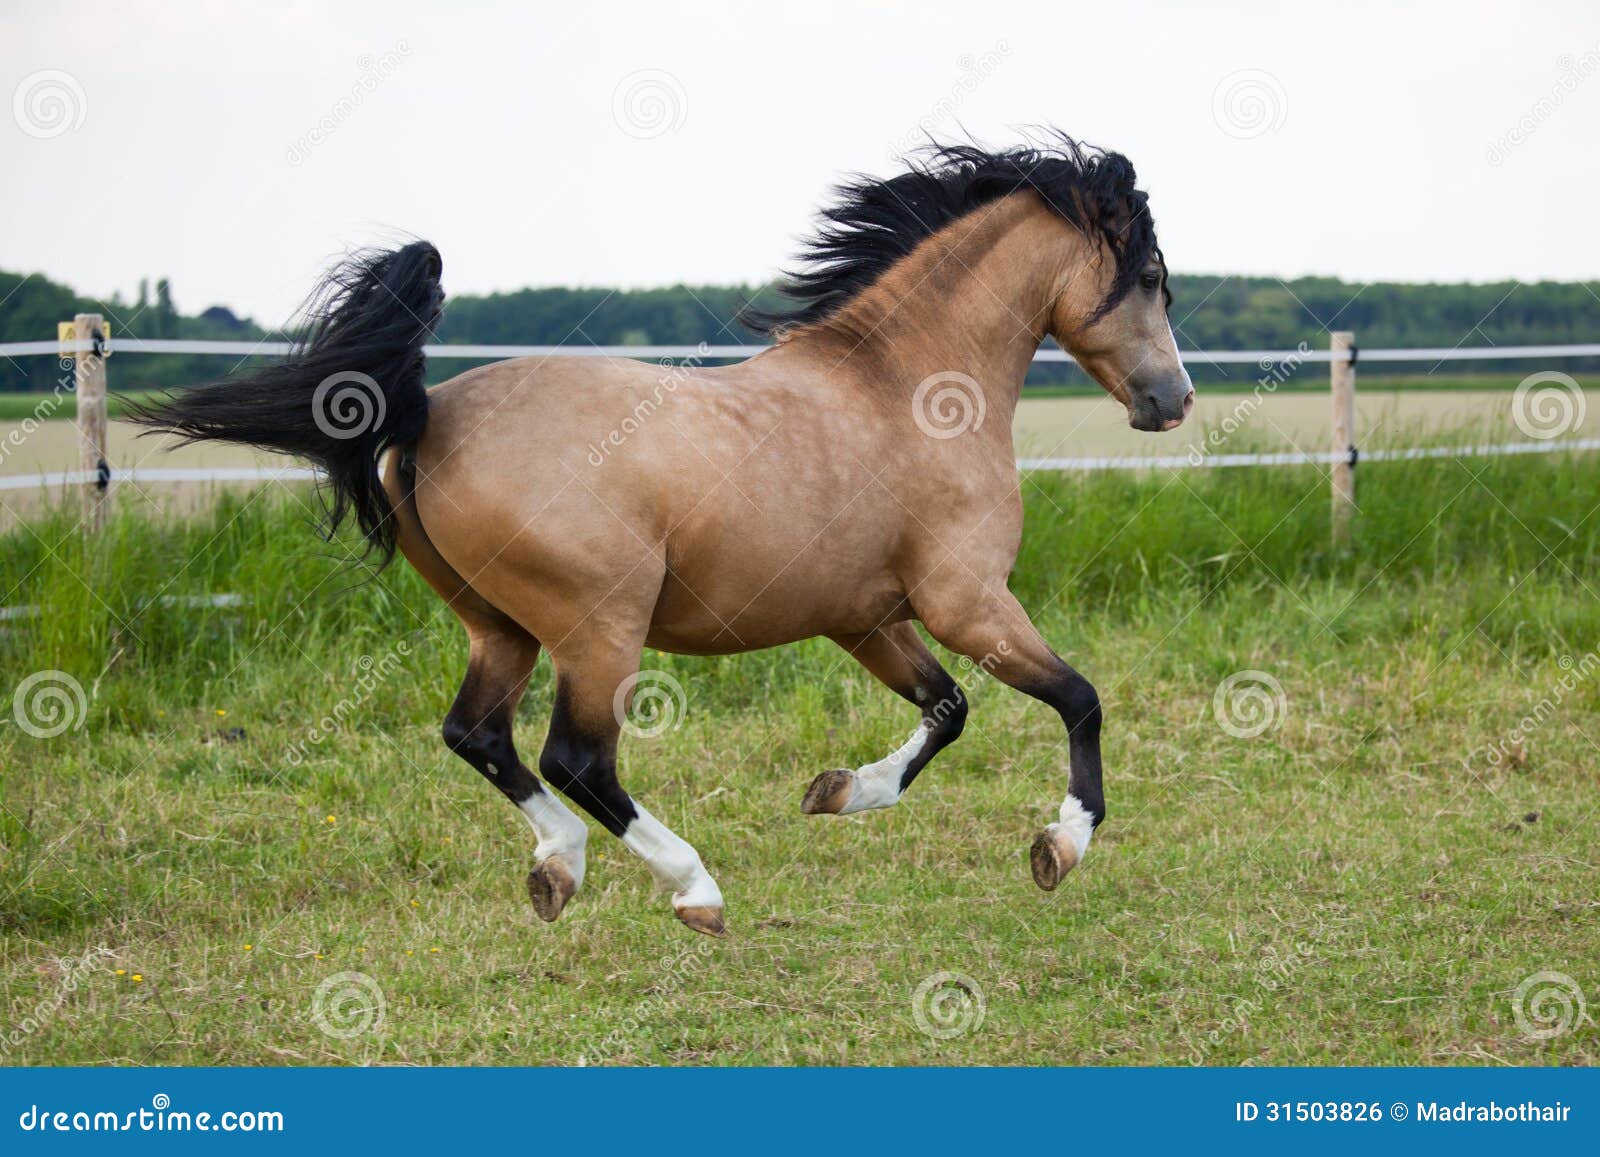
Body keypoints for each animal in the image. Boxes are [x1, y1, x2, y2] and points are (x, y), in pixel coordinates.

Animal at [130, 137, 1193, 937]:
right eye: (1149, 276)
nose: (1172, 400)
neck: (905, 389)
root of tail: (428, 416)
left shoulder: (866, 617)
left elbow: (949, 709)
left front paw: (839, 791)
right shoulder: (967, 600)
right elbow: (1080, 700)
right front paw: (1059, 845)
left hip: (500, 628)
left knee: (477, 735)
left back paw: (558, 866)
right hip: (600, 626)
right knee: (577, 758)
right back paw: (694, 887)